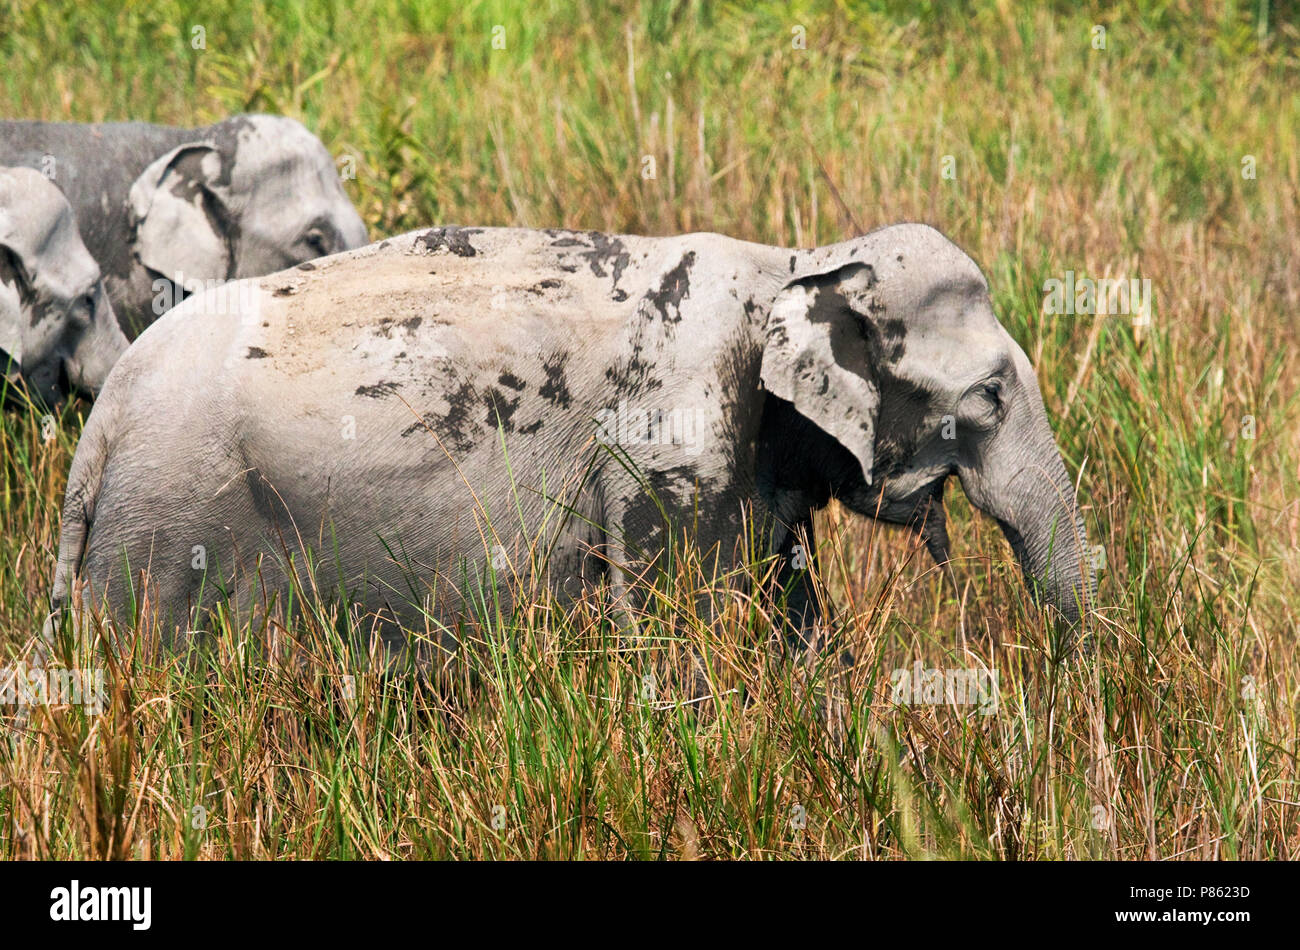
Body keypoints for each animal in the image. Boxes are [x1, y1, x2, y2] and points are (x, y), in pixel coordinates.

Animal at [48, 223, 1094, 660]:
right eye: (990, 394)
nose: (1064, 677)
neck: (795, 264)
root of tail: (103, 425)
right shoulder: (673, 446)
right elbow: (680, 626)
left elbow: (792, 616)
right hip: (168, 531)